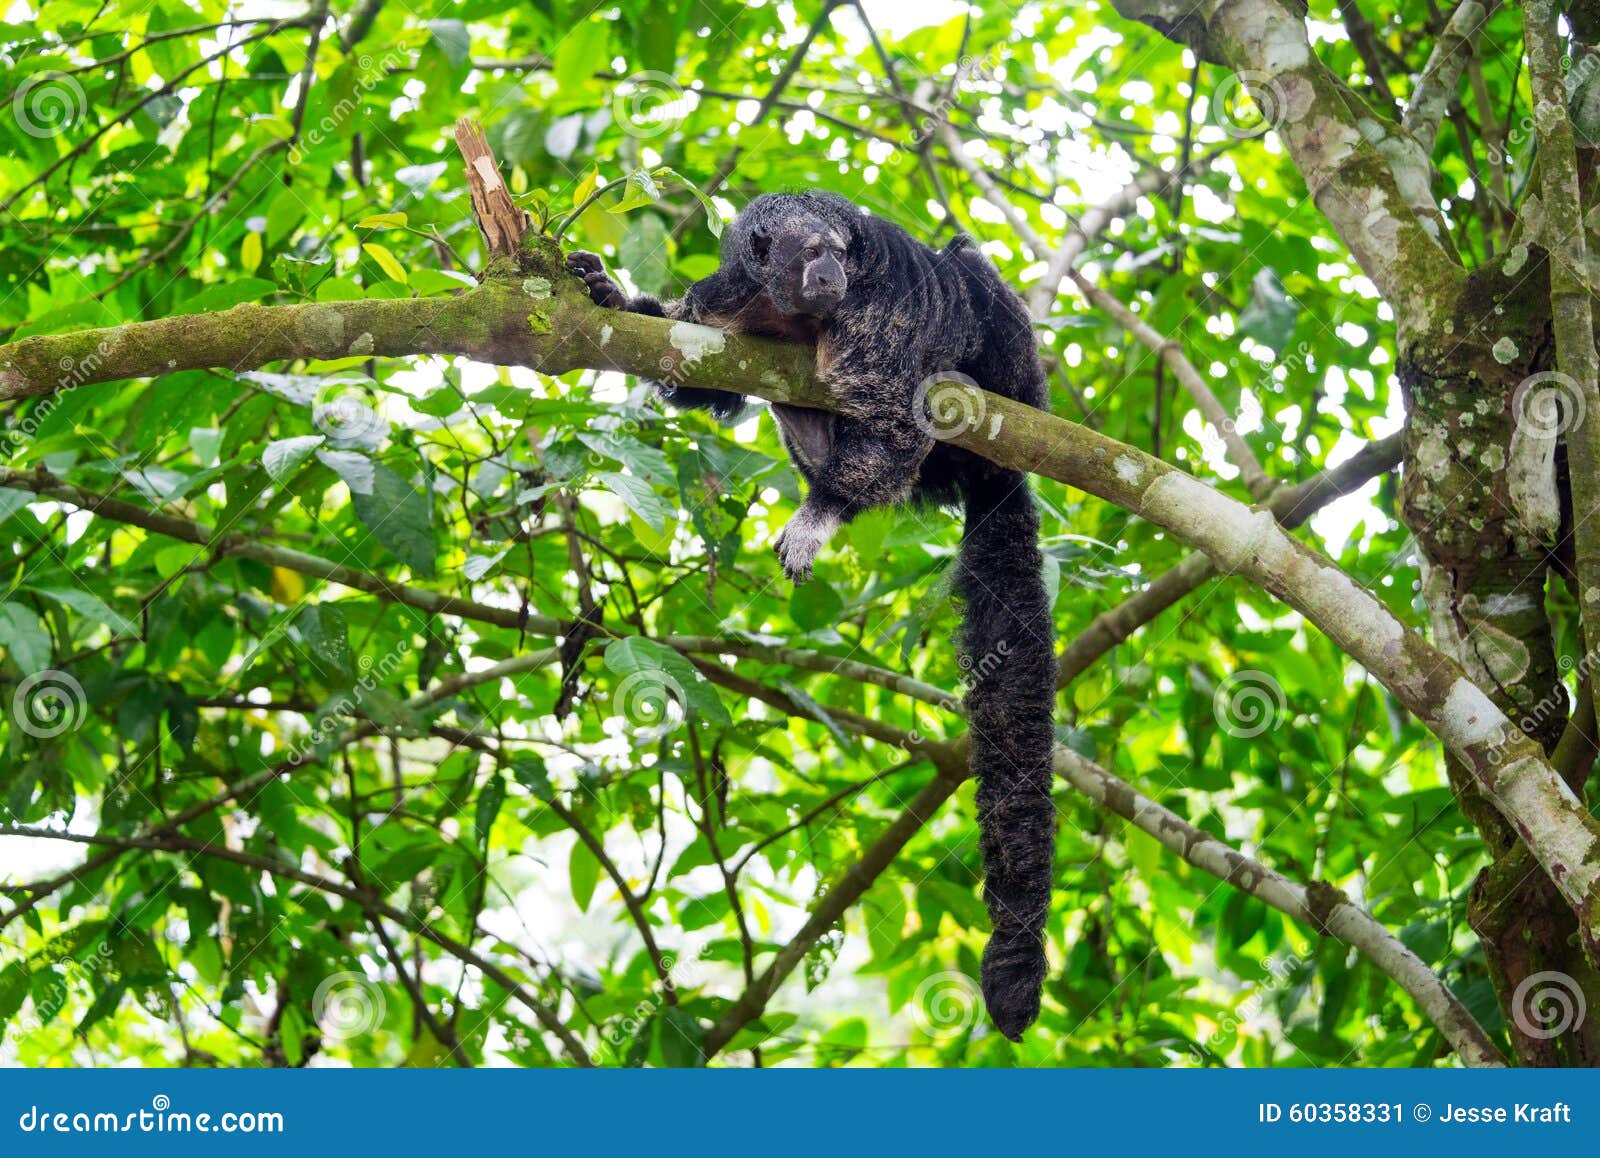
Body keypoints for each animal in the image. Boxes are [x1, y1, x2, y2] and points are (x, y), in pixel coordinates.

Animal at [565, 191, 1056, 1040]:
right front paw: (613, 298)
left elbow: (892, 419)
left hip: (1015, 386)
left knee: (966, 271)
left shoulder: (879, 315)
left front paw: (821, 512)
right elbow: (708, 380)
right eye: (808, 255)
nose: (829, 274)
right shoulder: (728, 298)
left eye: (839, 254)